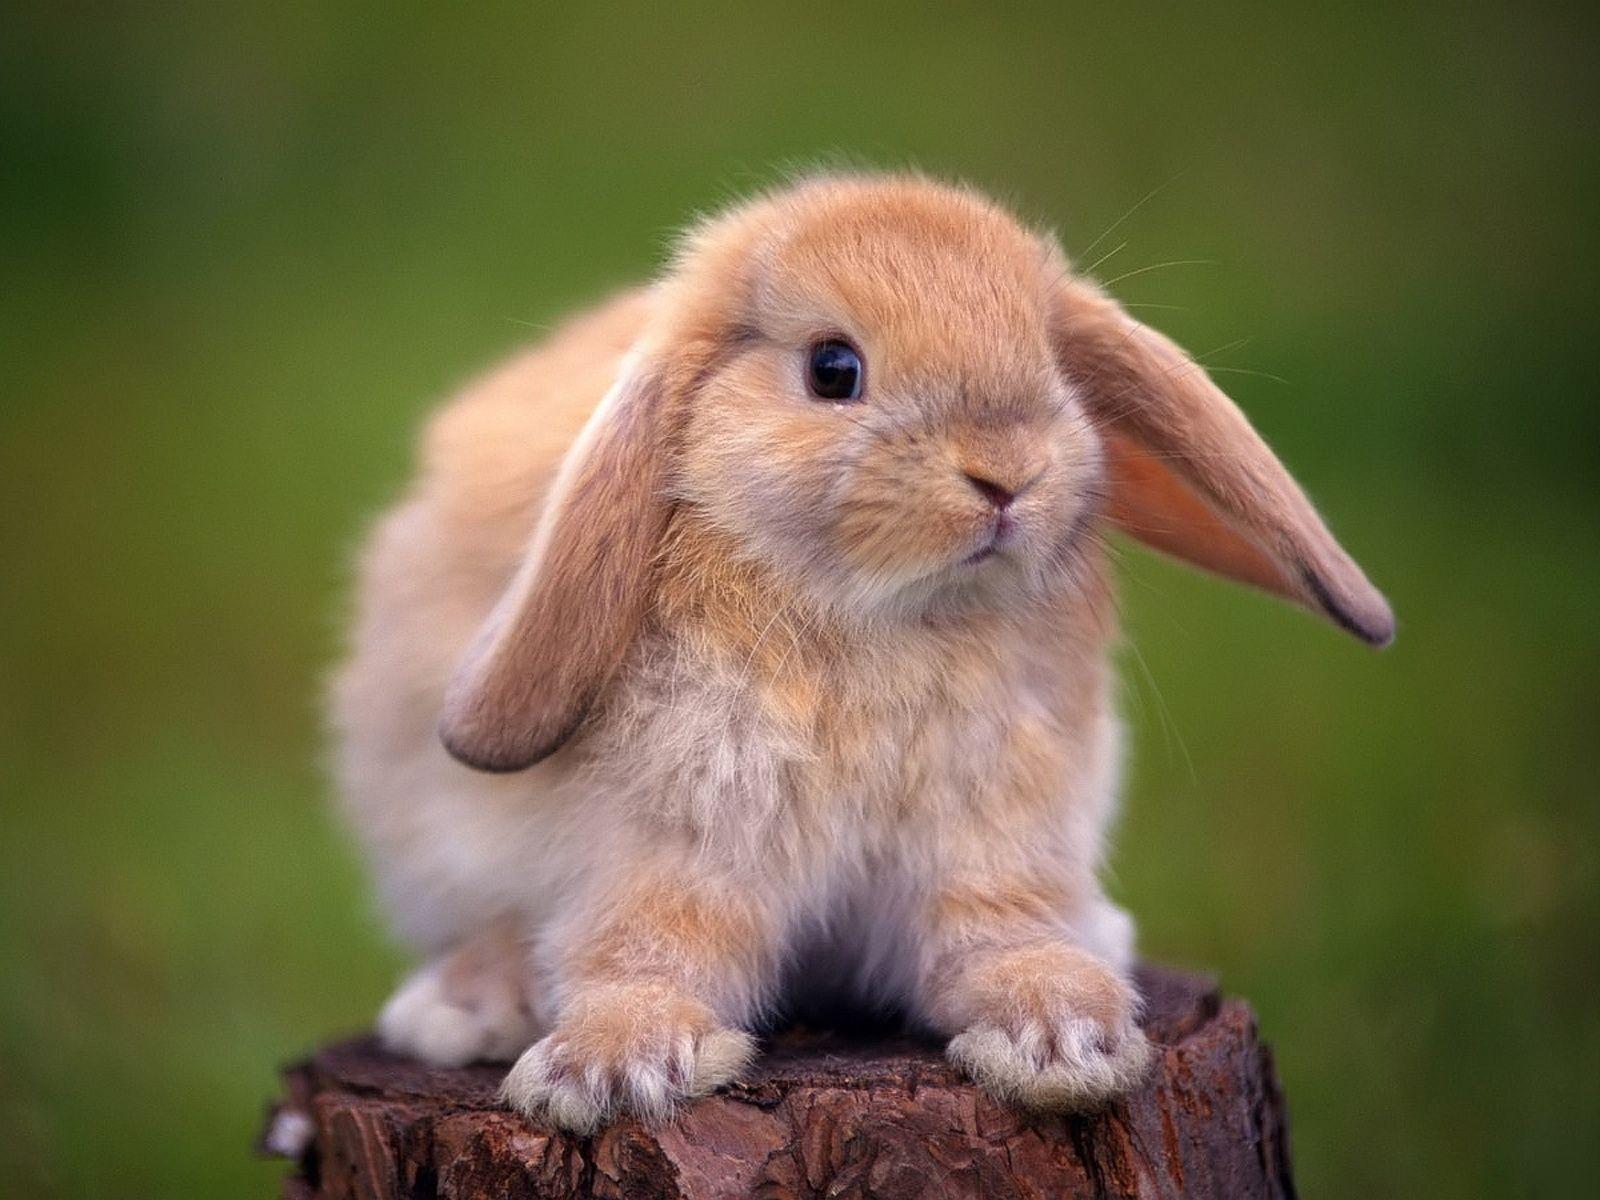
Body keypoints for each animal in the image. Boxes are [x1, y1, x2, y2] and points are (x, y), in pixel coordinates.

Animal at [330, 172, 1393, 1133]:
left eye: (1051, 360)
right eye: (833, 369)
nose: (1008, 474)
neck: (889, 616)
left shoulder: (993, 833)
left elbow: (996, 937)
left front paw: (1065, 1040)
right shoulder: (675, 841)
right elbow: (649, 949)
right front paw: (604, 1073)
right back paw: (465, 1008)